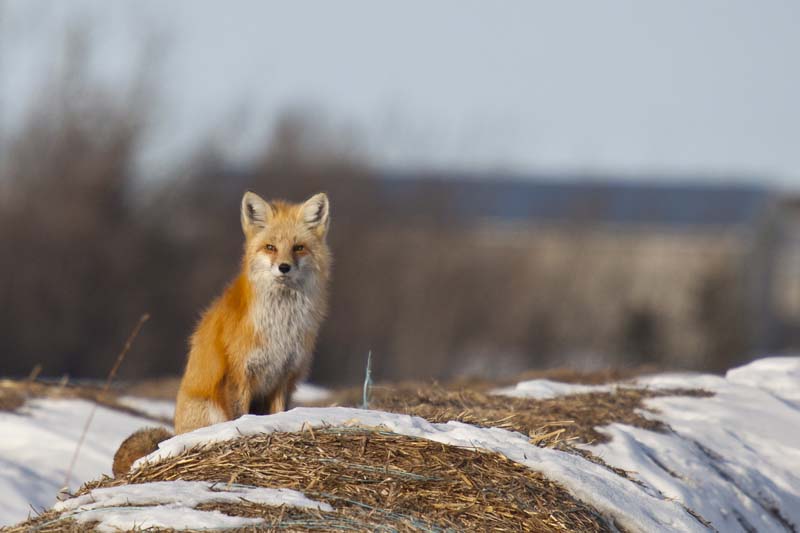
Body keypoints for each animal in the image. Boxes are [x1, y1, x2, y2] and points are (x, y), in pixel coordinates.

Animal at [112, 191, 331, 476]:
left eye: (298, 248)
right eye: (270, 247)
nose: (284, 267)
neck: (280, 326)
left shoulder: (284, 377)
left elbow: (279, 414)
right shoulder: (237, 374)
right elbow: (238, 417)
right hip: (209, 407)